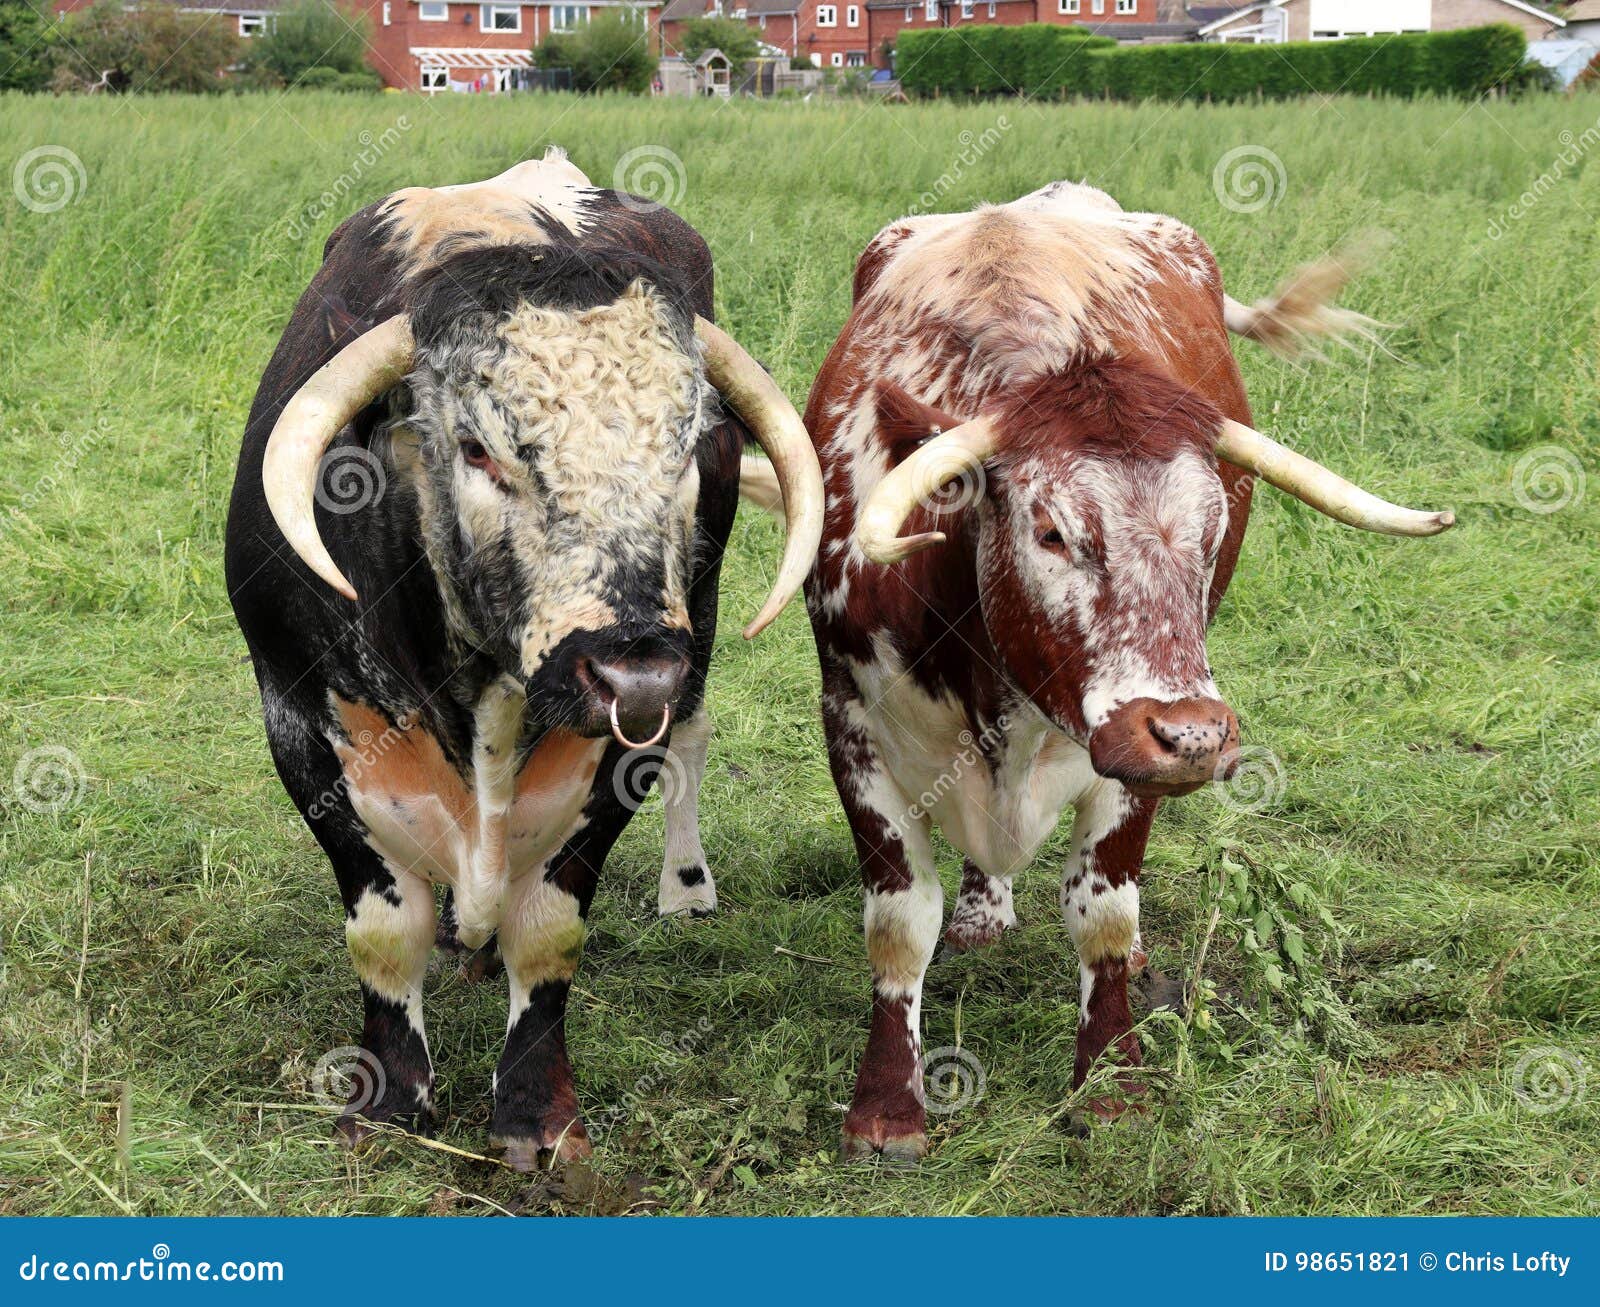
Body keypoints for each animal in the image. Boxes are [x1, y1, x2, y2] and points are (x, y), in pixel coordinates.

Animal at [224, 149, 824, 1169]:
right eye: (478, 448)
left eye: (686, 450)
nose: (633, 670)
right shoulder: (301, 723)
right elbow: (386, 931)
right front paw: (388, 1101)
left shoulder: (617, 749)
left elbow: (547, 932)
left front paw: (537, 1116)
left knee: (694, 743)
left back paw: (686, 887)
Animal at [787, 181, 1454, 1161]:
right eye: (1053, 531)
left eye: (1214, 530)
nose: (1195, 736)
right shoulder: (854, 722)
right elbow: (899, 922)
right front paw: (886, 1106)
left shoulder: (1127, 755)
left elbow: (1103, 912)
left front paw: (1111, 1082)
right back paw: (983, 911)